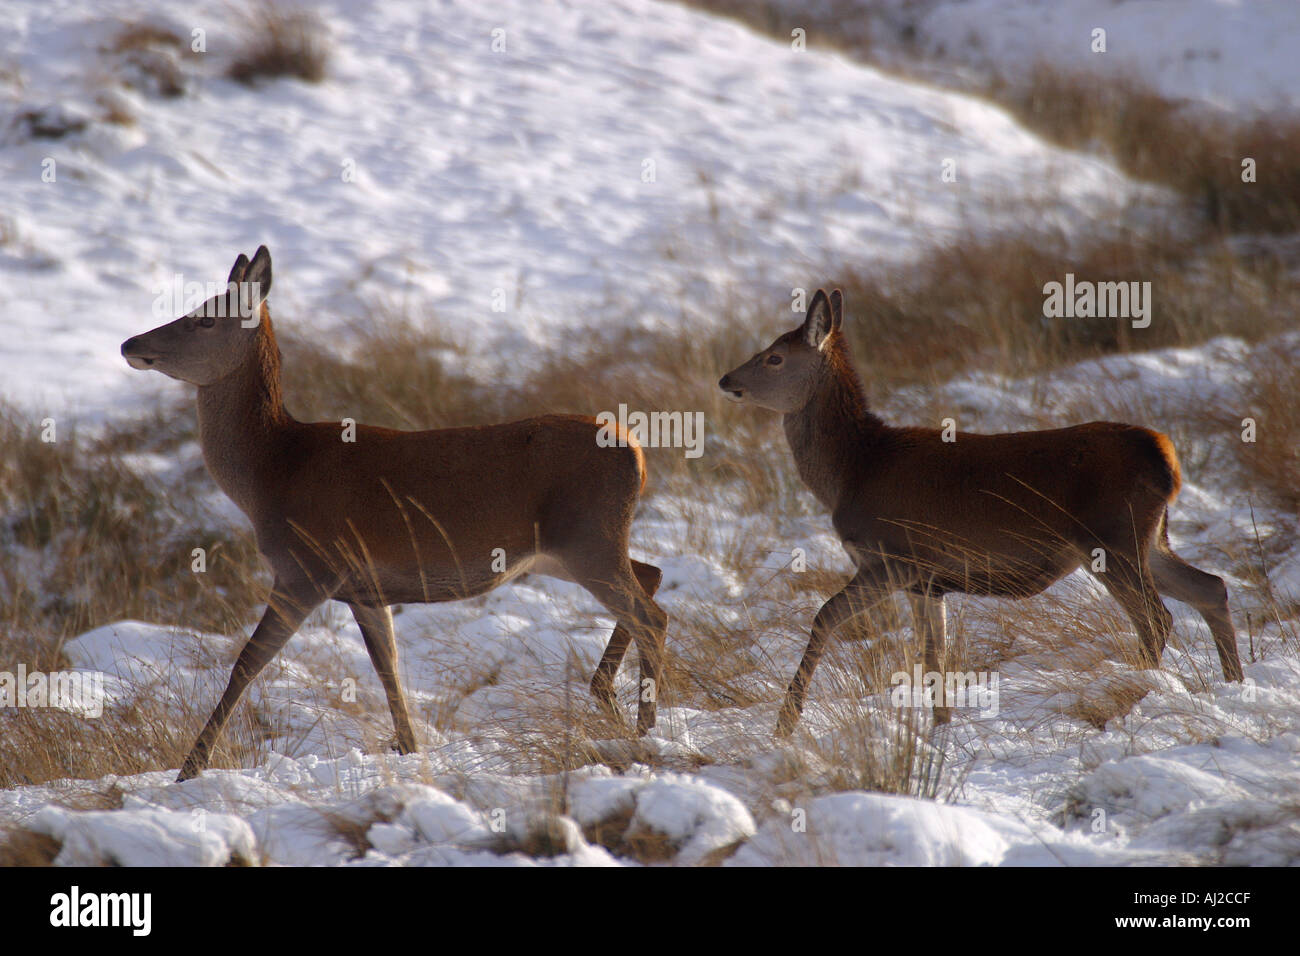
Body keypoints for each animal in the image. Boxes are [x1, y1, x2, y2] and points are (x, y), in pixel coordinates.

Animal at [121, 246, 668, 781]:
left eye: (205, 318)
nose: (129, 343)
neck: (273, 471)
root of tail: (638, 453)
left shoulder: (308, 566)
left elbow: (247, 664)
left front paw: (190, 769)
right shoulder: (365, 590)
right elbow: (389, 667)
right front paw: (409, 748)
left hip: (588, 538)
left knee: (652, 615)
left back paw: (644, 729)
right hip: (568, 549)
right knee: (652, 574)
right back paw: (609, 700)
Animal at [718, 288, 1243, 736]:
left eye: (774, 357)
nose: (726, 380)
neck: (852, 471)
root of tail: (1167, 457)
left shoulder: (890, 557)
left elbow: (825, 617)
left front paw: (785, 725)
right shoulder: (926, 579)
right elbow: (934, 653)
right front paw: (941, 728)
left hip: (1111, 538)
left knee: (1156, 618)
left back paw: (1143, 690)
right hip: (1148, 539)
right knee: (1210, 587)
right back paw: (1234, 685)